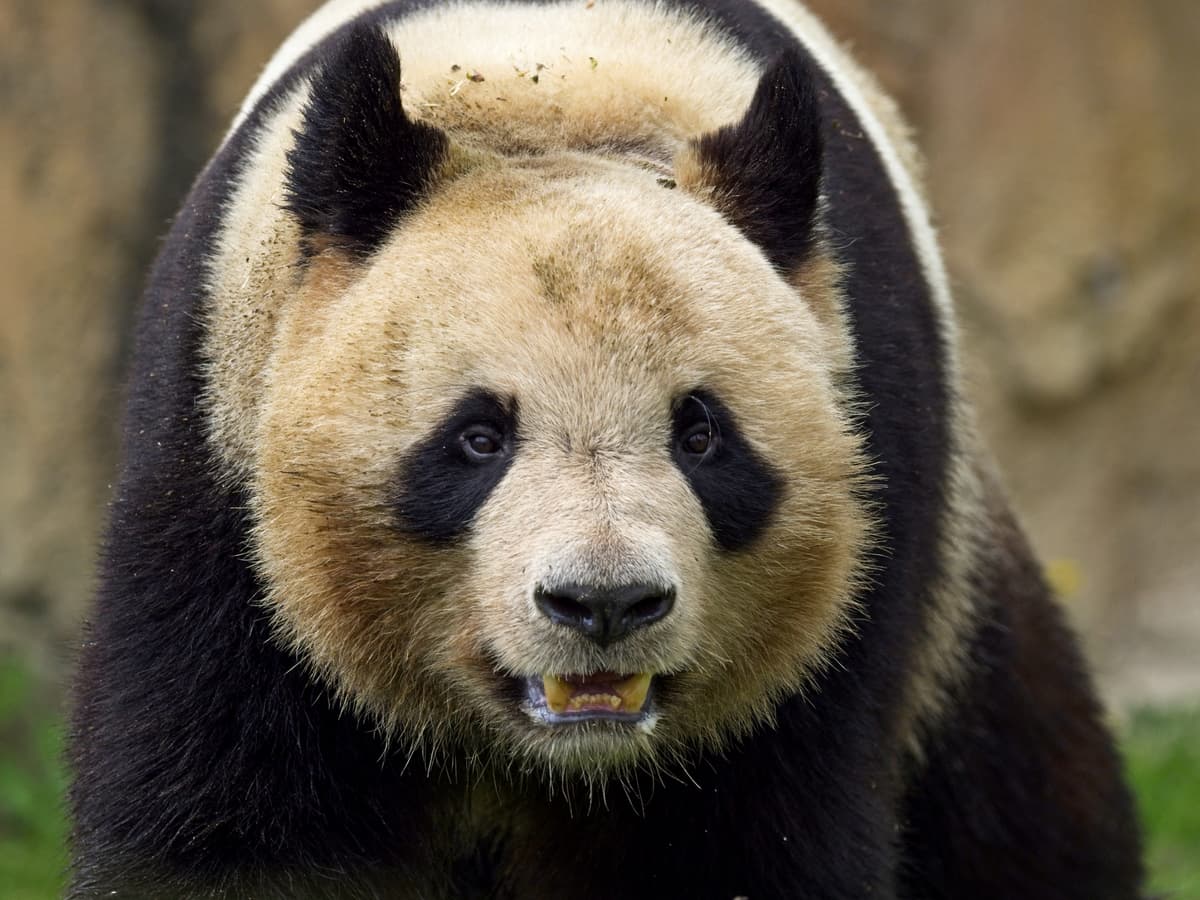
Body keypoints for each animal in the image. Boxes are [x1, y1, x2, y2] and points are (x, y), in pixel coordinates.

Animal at [68, 0, 1145, 897]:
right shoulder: (218, 494)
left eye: (701, 433)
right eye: (479, 436)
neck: (557, 105)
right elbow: (231, 833)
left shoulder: (864, 544)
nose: (604, 604)